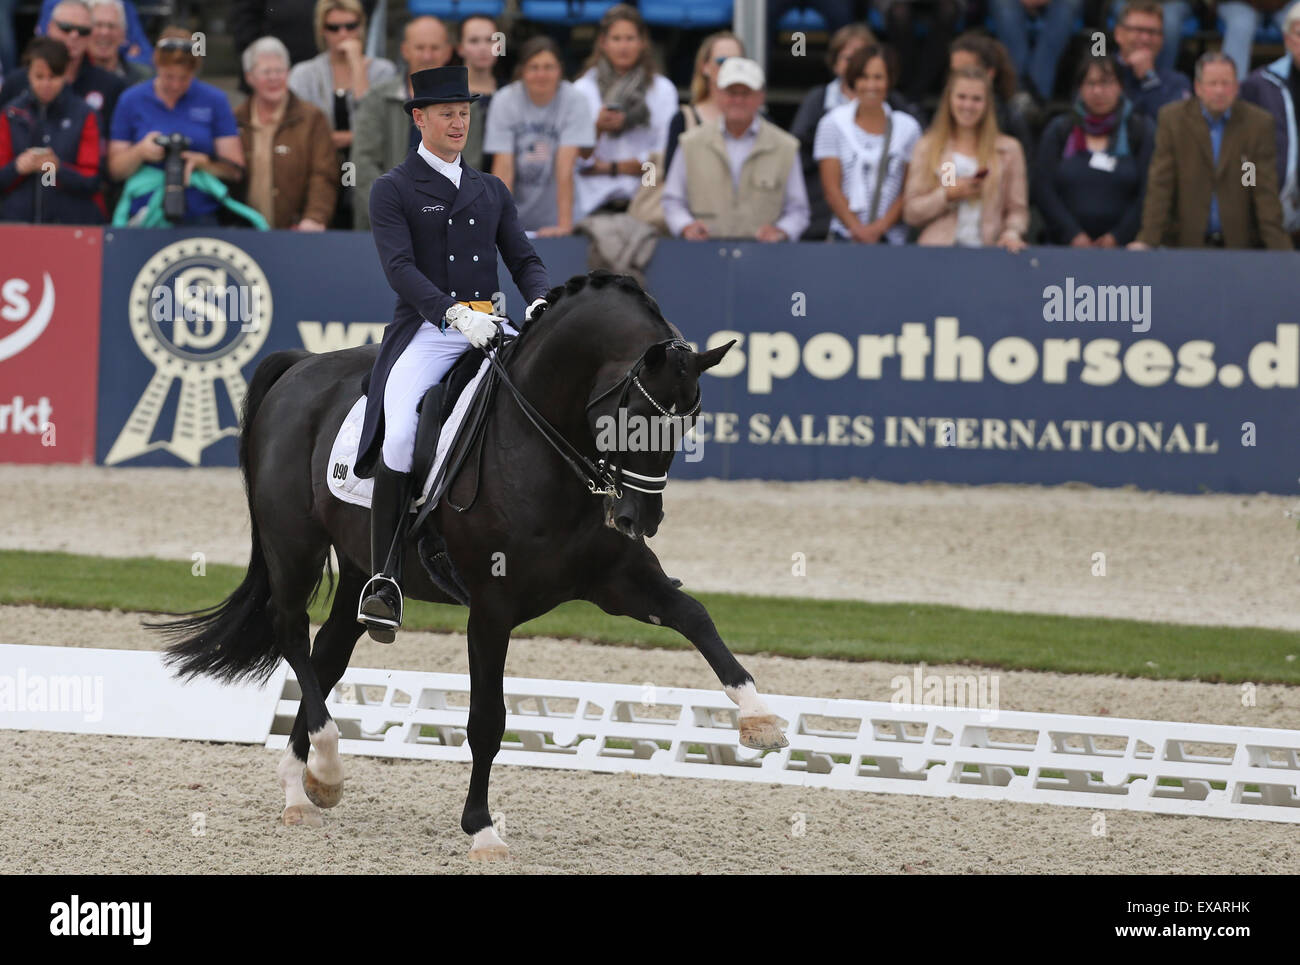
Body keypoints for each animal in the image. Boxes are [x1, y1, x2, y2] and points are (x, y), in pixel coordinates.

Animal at [151, 270, 789, 861]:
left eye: (690, 421)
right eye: (631, 414)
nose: (639, 518)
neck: (541, 444)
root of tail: (300, 367)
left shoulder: (616, 580)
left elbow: (694, 615)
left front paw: (761, 720)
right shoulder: (490, 607)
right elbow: (486, 718)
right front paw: (482, 829)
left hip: (360, 568)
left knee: (327, 653)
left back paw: (301, 787)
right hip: (294, 546)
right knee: (290, 633)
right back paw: (327, 770)